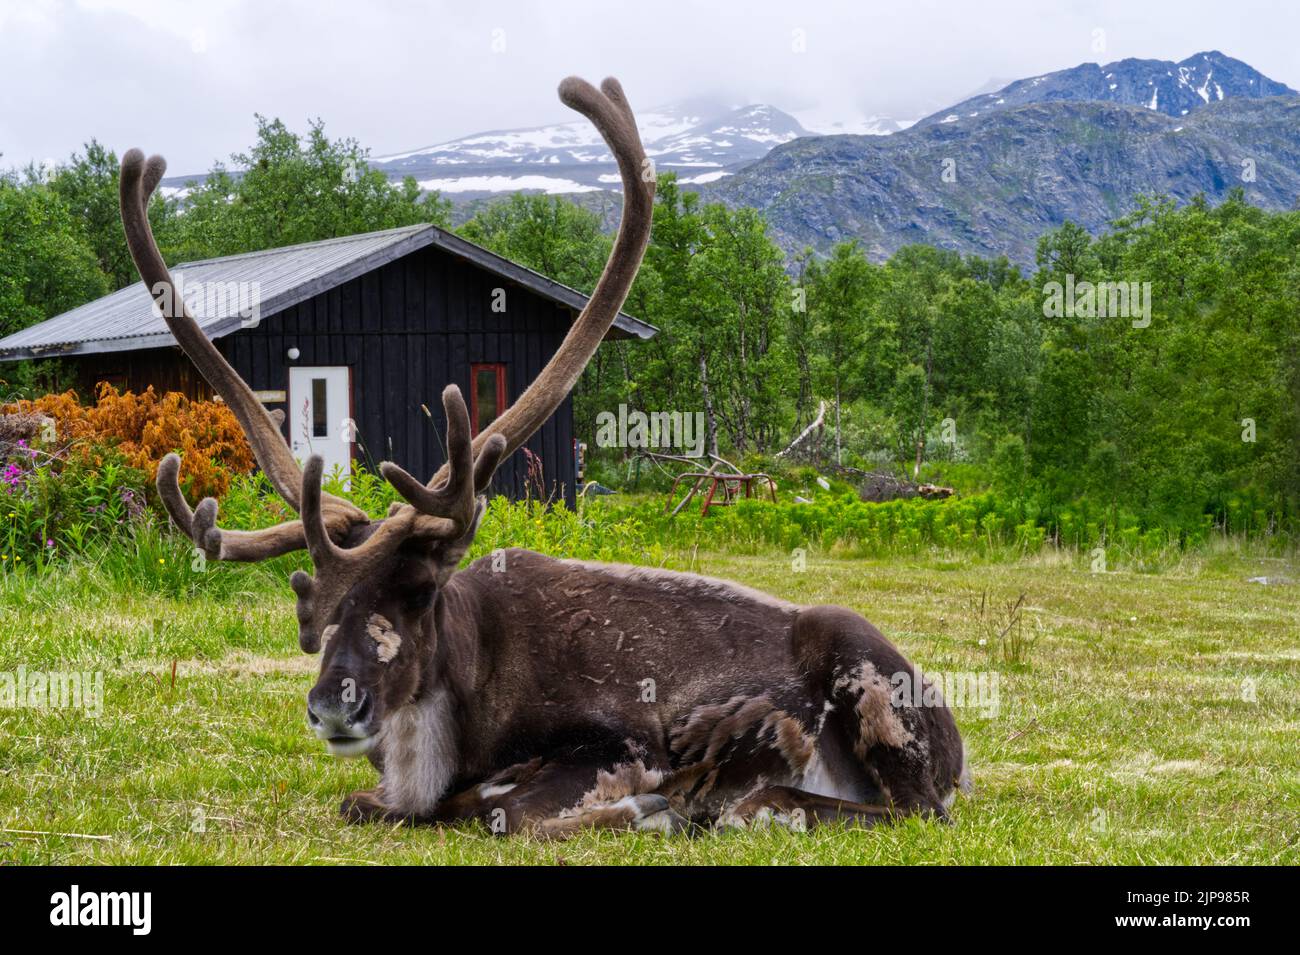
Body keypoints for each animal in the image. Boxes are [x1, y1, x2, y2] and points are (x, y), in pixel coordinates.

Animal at [119, 76, 968, 836]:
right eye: (318, 604)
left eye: (418, 591)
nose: (333, 704)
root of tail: (960, 748)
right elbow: (369, 801)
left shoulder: (622, 739)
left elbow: (509, 809)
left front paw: (646, 809)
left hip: (867, 680)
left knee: (911, 808)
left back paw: (755, 807)